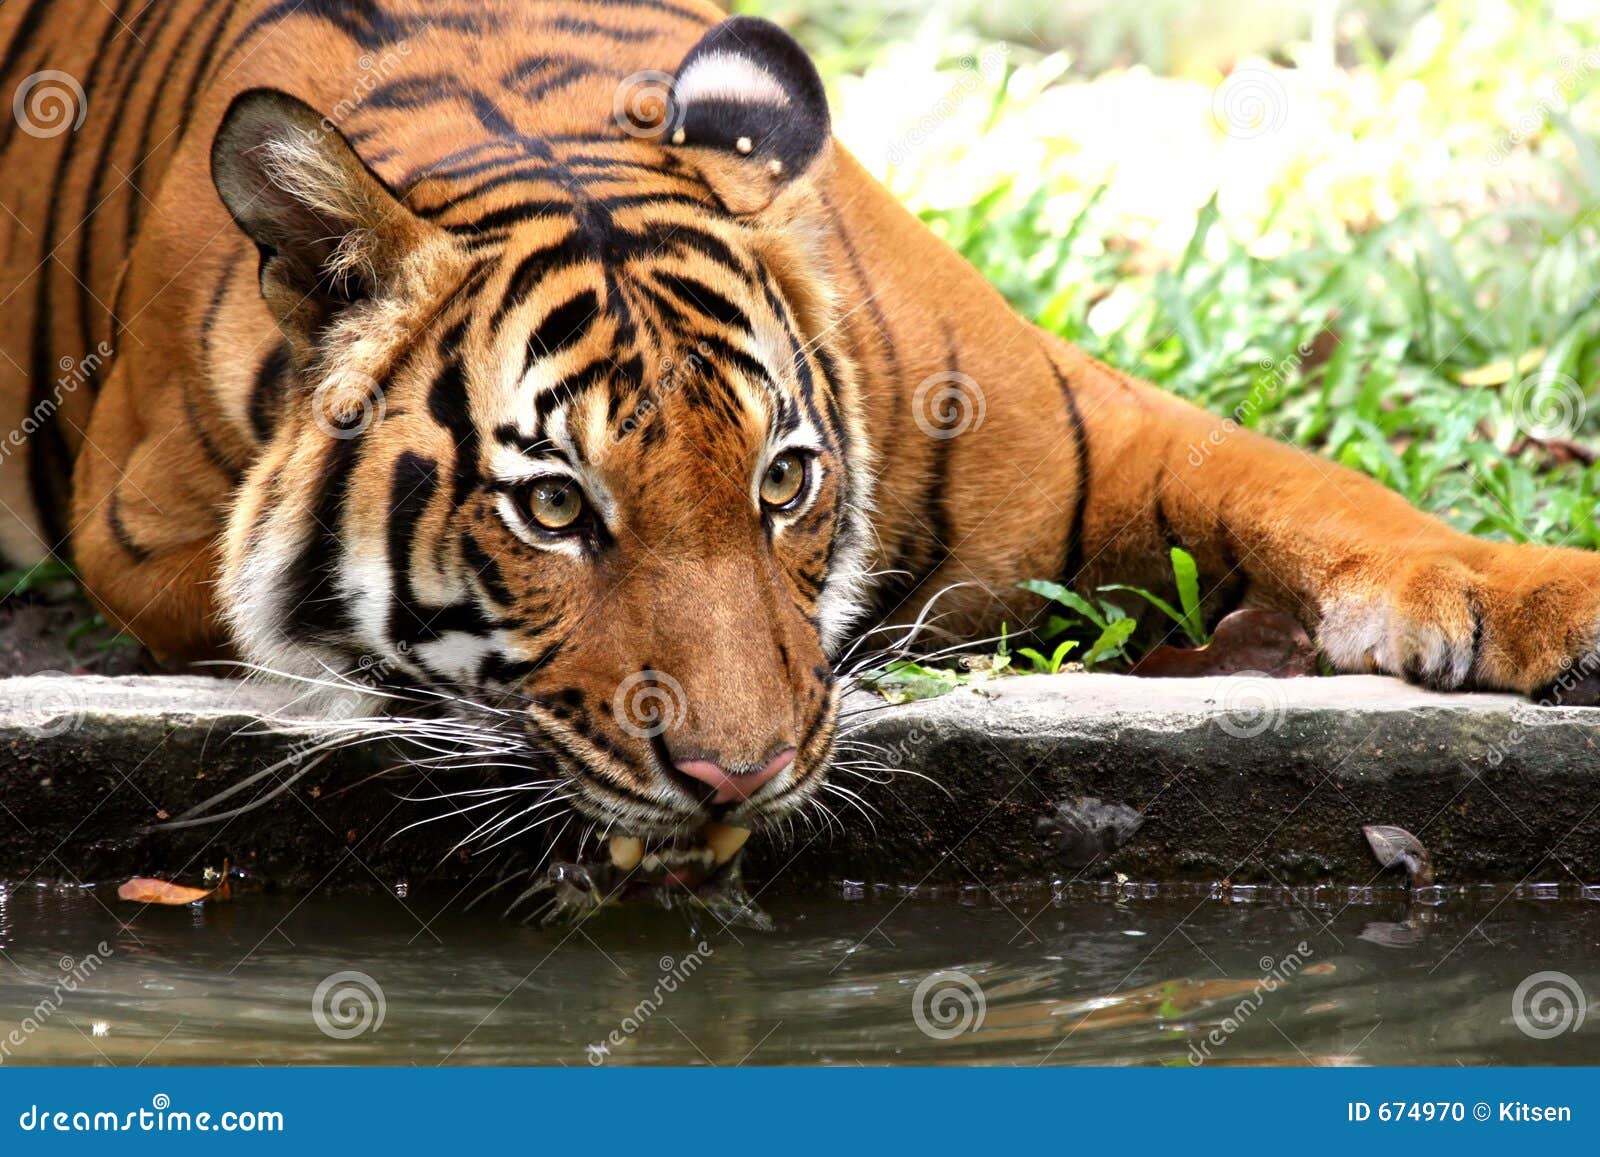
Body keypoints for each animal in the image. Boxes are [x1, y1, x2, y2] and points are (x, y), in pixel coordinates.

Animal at [4, 0, 1600, 878]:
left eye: (784, 480)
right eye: (554, 509)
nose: (745, 774)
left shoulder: (1087, 417)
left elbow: (1305, 482)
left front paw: (1536, 600)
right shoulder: (140, 531)